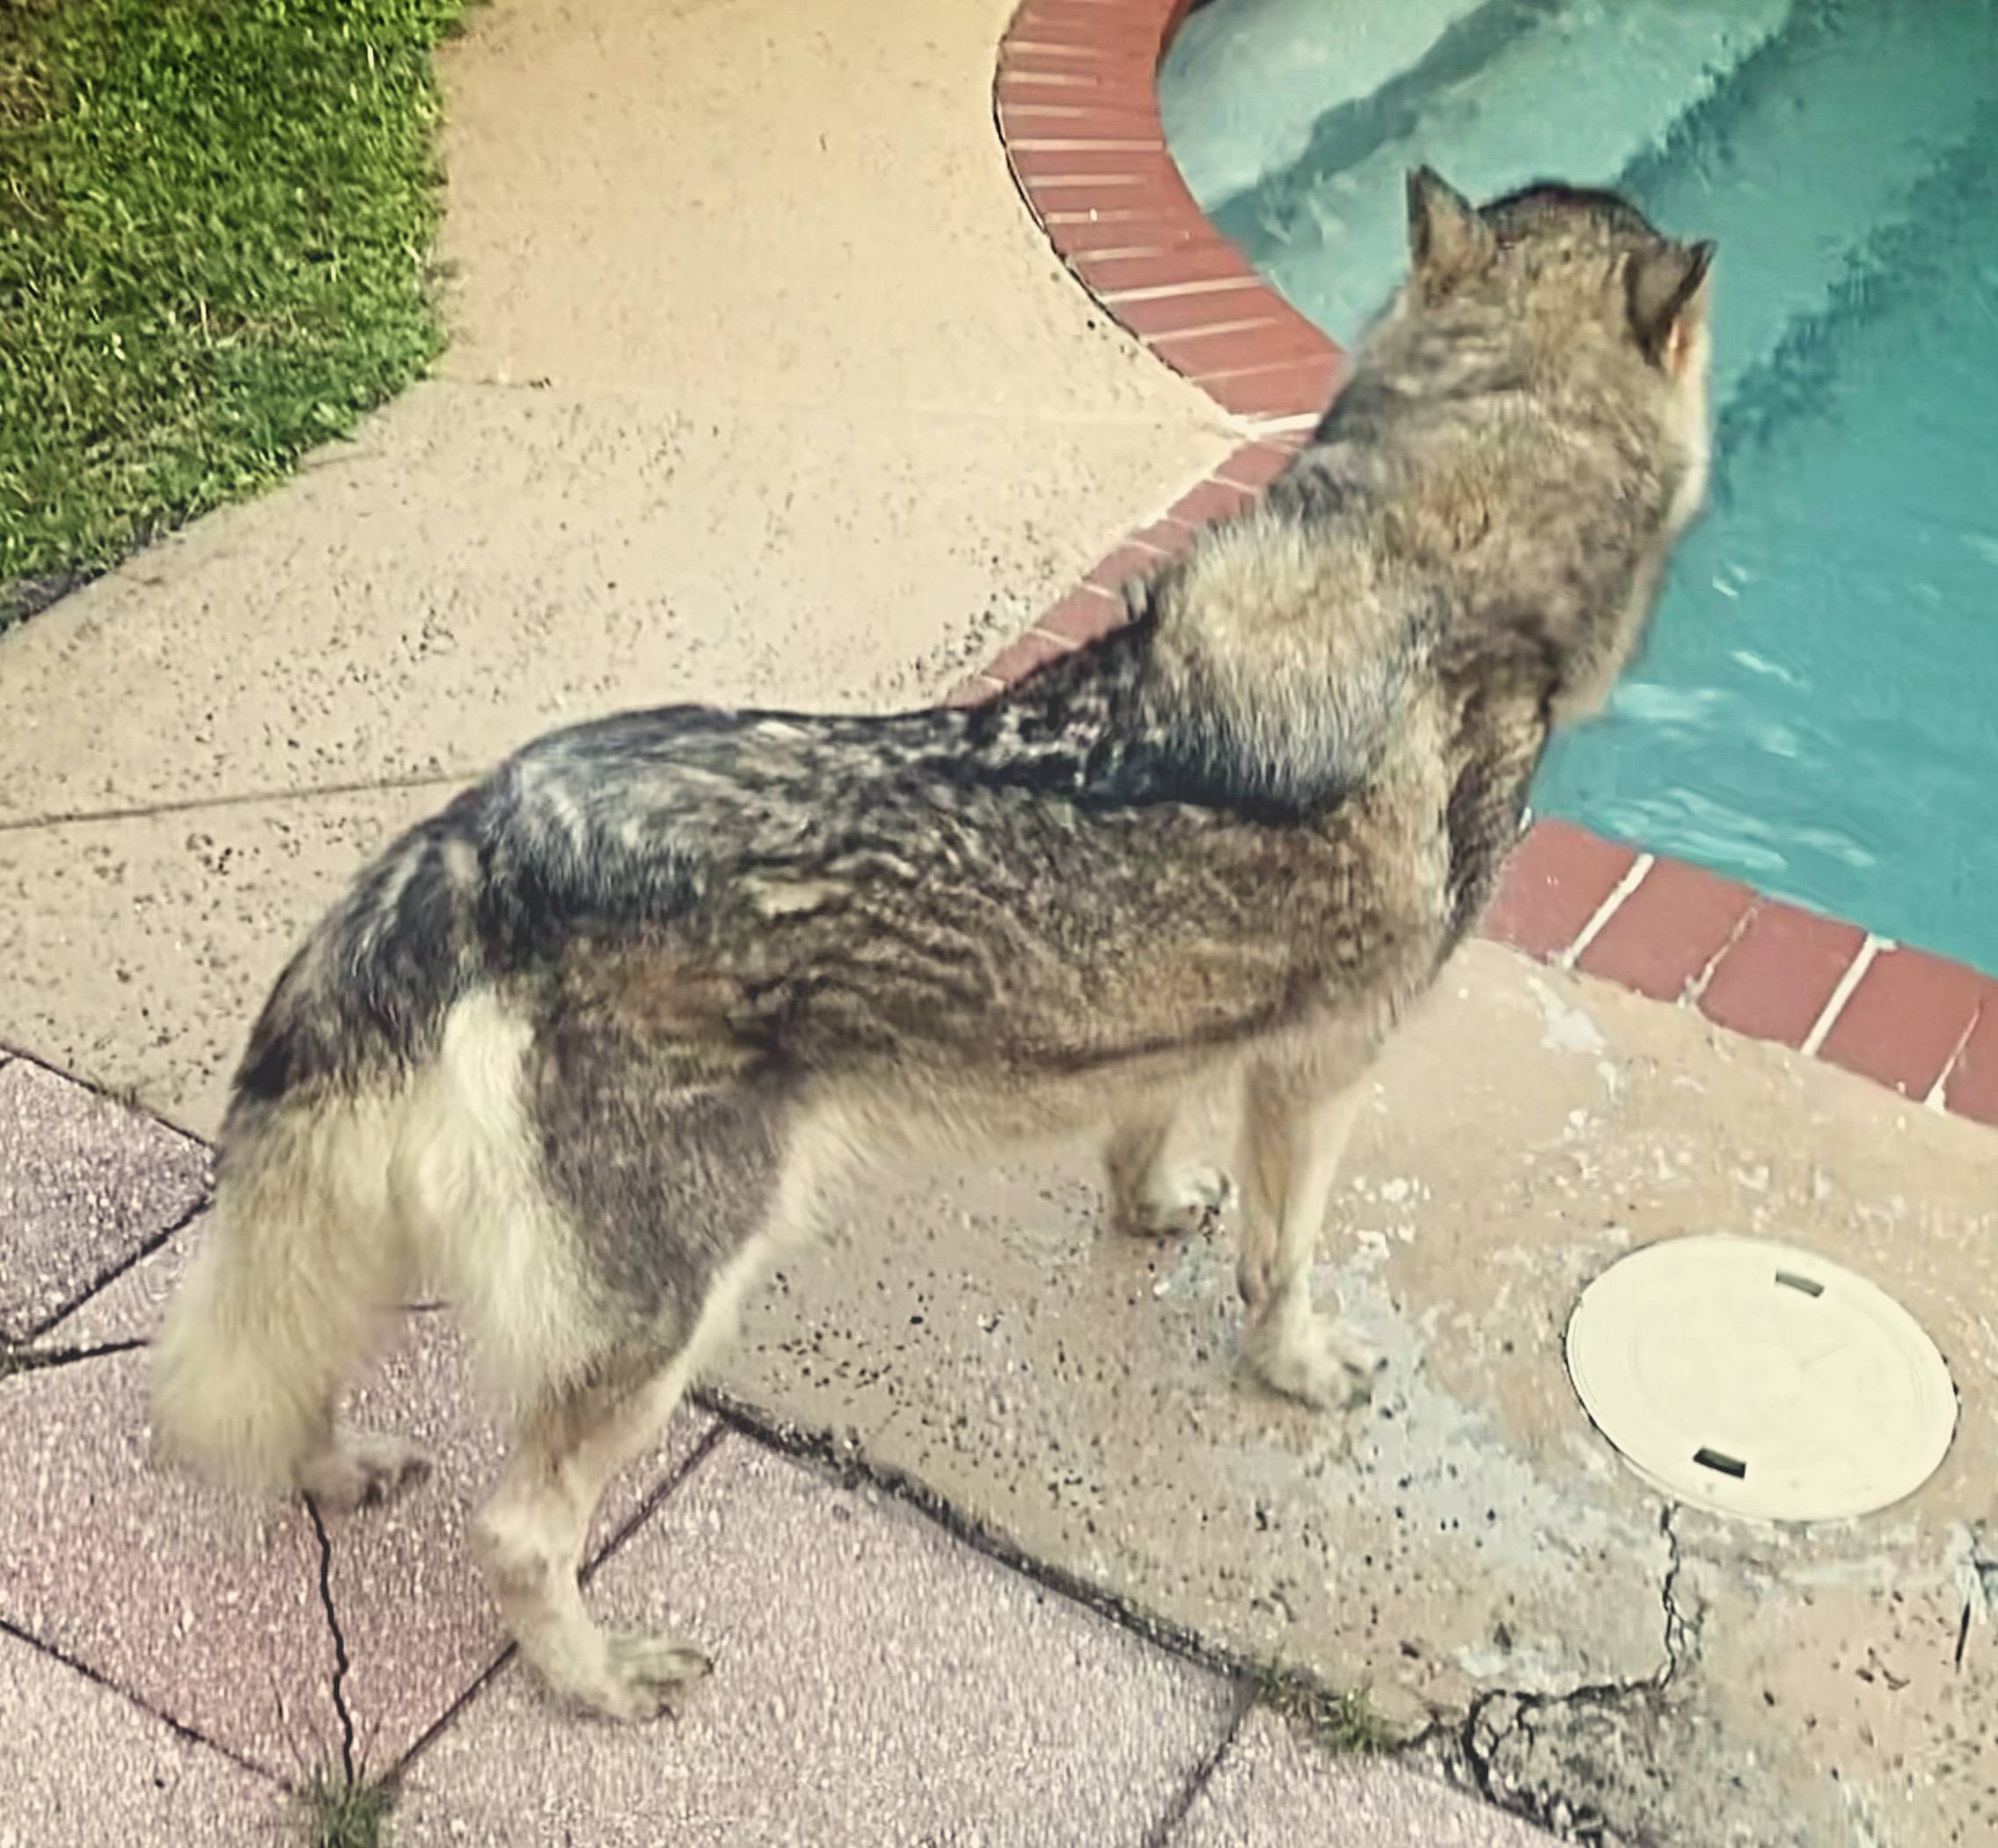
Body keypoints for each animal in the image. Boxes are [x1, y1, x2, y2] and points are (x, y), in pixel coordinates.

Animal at [151, 169, 1714, 1721]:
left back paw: (338, 1474)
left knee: (303, 1382)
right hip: (667, 1318)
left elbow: (1140, 1136)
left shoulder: (1169, 1031)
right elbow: (1281, 1263)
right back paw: (596, 1679)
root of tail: (478, 838)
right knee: (518, 1532)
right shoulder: (1320, 1072)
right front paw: (1297, 1366)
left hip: (381, 1255)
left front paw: (1153, 1208)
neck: (1414, 555)